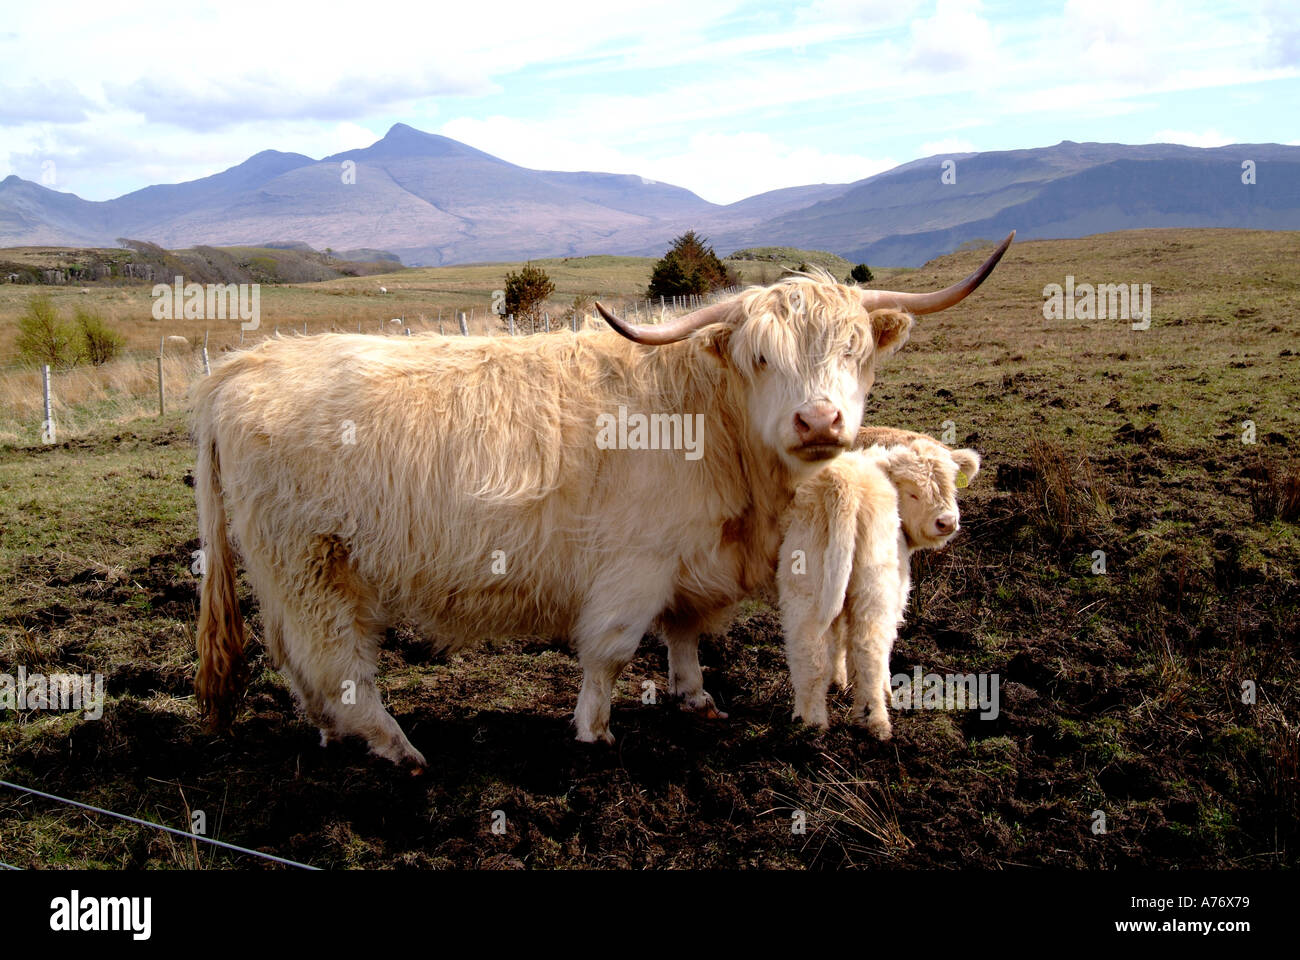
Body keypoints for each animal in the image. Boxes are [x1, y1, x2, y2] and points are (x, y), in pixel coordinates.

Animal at [776, 430, 980, 737]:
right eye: (912, 492)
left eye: (951, 486)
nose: (946, 522)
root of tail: (843, 480)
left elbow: (837, 637)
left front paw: (838, 679)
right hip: (873, 585)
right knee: (869, 647)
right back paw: (876, 720)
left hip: (809, 585)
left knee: (810, 645)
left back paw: (810, 722)